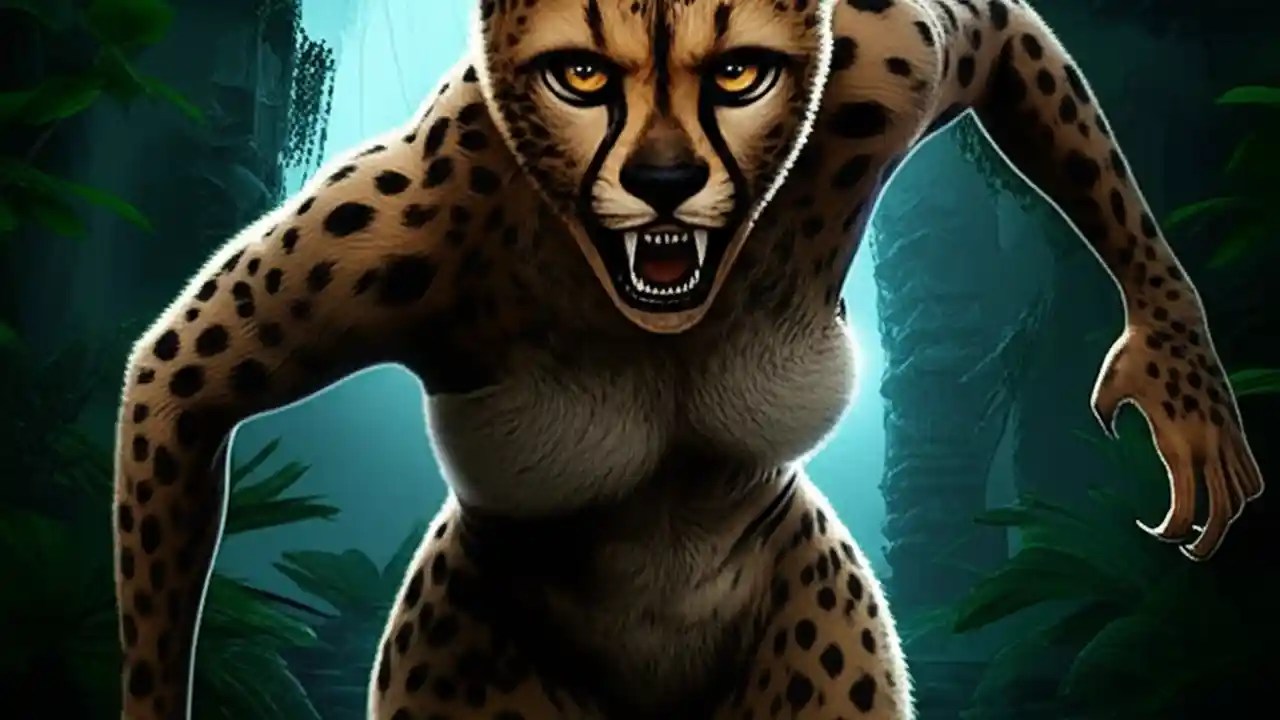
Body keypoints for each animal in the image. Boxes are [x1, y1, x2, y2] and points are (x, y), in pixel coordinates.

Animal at [111, 1, 1265, 718]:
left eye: (736, 74)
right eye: (581, 75)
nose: (664, 179)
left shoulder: (884, 65)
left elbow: (1000, 31)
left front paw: (1177, 372)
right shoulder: (403, 229)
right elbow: (180, 376)